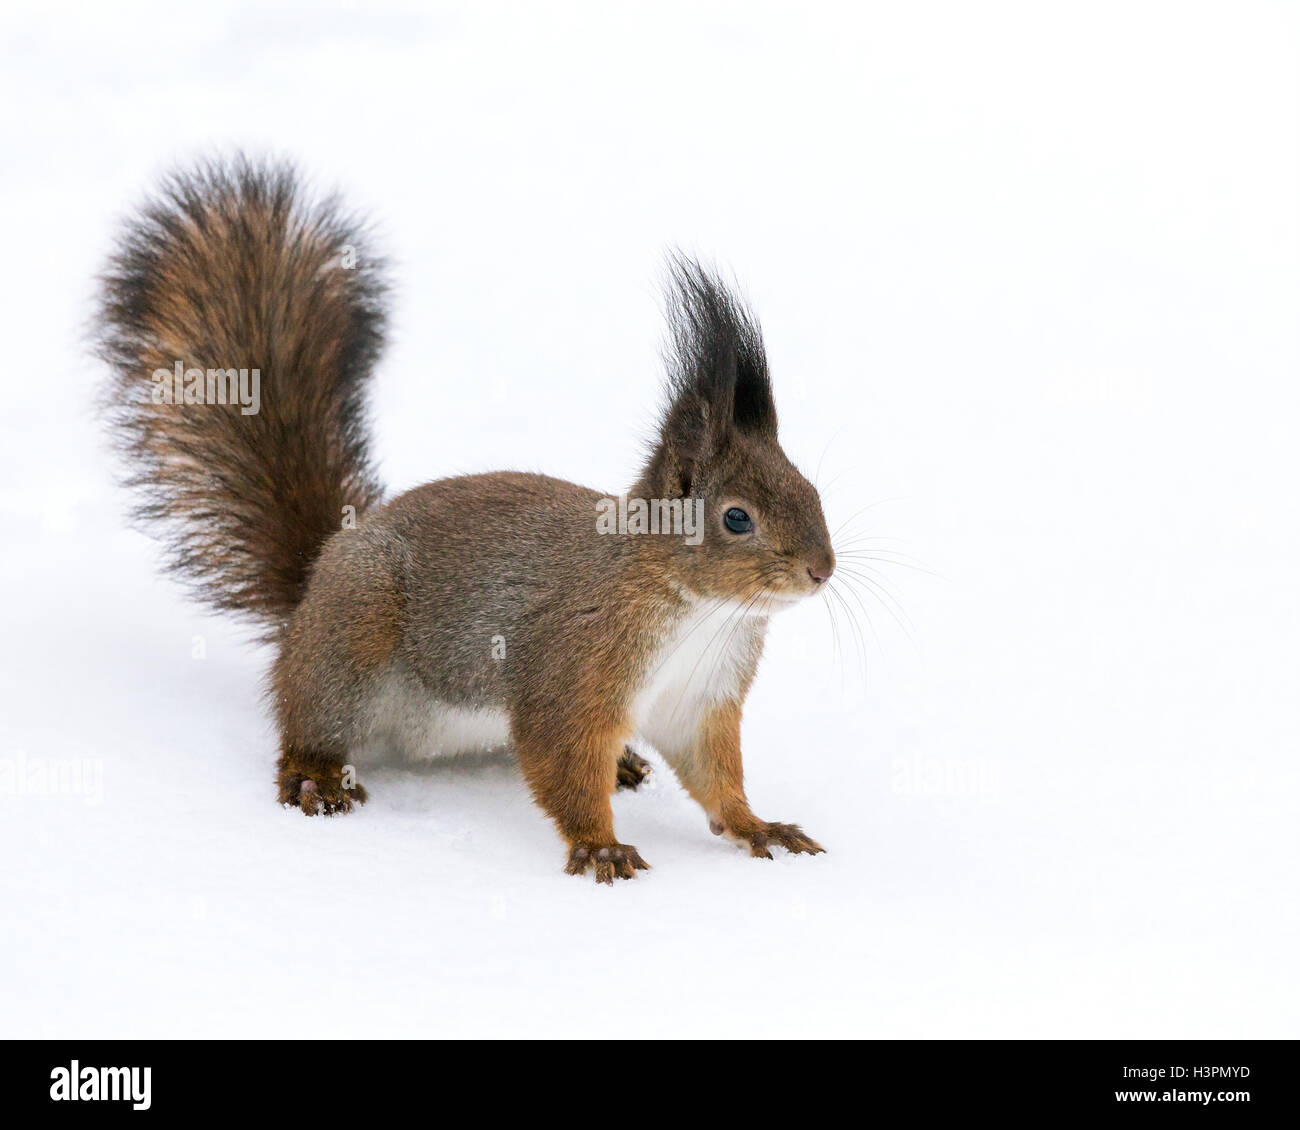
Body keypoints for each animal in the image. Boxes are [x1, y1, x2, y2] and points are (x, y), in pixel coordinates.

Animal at [97, 156, 836, 883]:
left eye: (811, 488)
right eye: (736, 518)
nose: (821, 570)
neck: (699, 610)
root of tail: (312, 587)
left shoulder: (698, 701)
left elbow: (715, 780)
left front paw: (757, 826)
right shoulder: (570, 668)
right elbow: (560, 757)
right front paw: (600, 847)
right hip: (352, 636)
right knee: (308, 724)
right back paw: (316, 779)